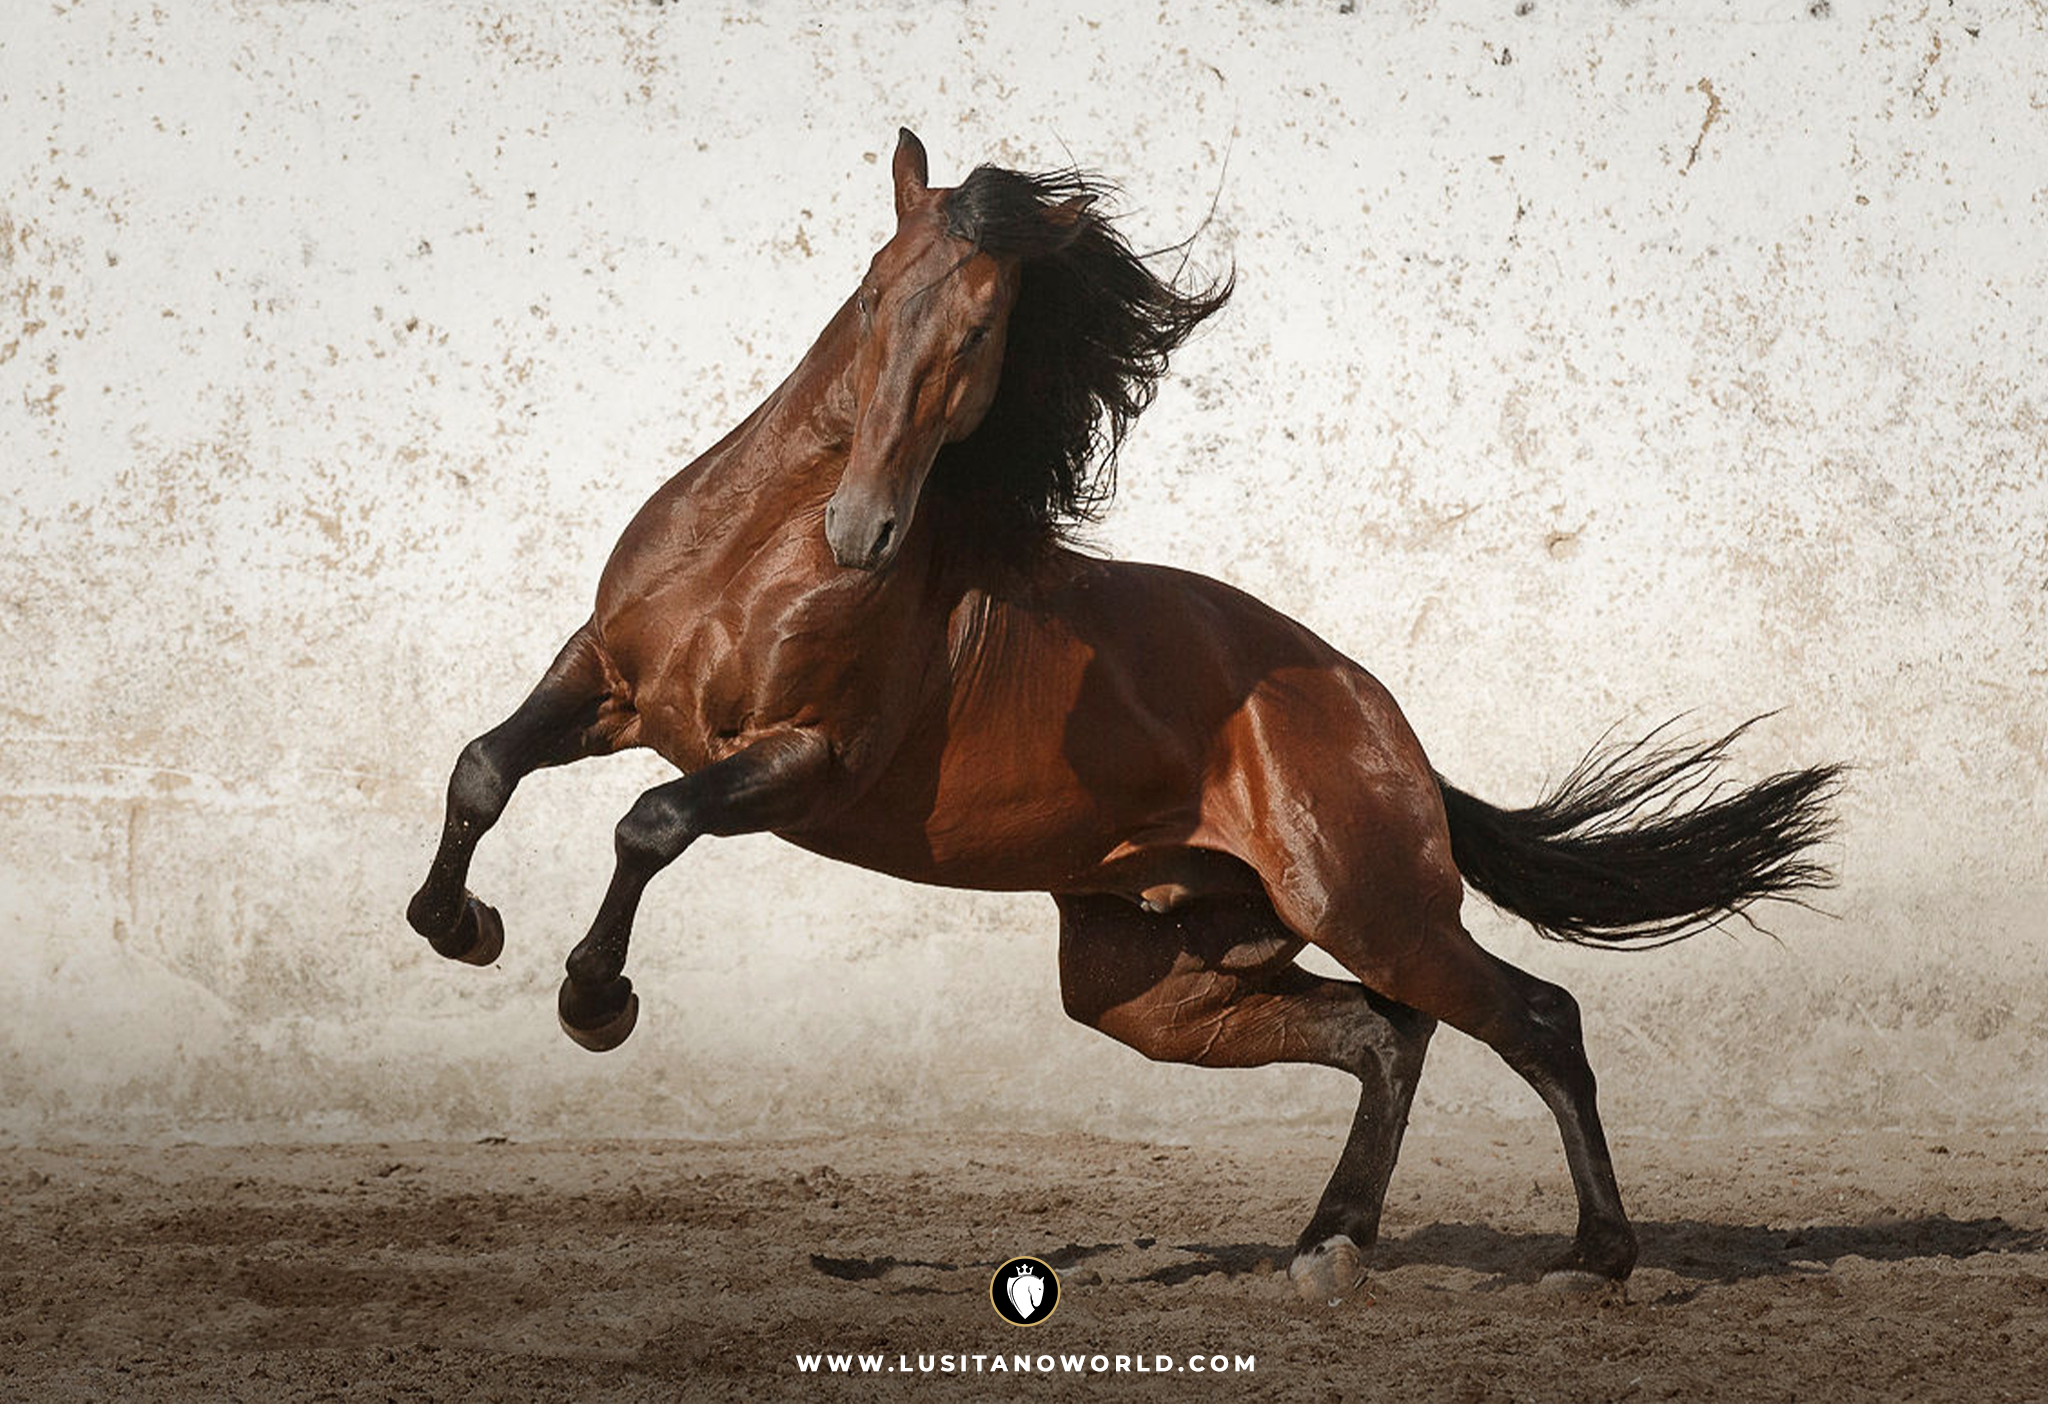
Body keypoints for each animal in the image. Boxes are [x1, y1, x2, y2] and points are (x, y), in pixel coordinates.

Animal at [407, 130, 1839, 1304]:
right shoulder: (603, 678)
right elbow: (483, 767)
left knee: (1532, 1019)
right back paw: (1325, 1249)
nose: (863, 530)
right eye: (874, 295)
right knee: (1380, 1034)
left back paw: (1591, 1257)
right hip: (1154, 982)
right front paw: (458, 926)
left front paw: (594, 1000)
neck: (760, 555)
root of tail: (1381, 723)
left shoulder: (799, 764)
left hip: (1368, 907)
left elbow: (649, 824)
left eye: (984, 332)